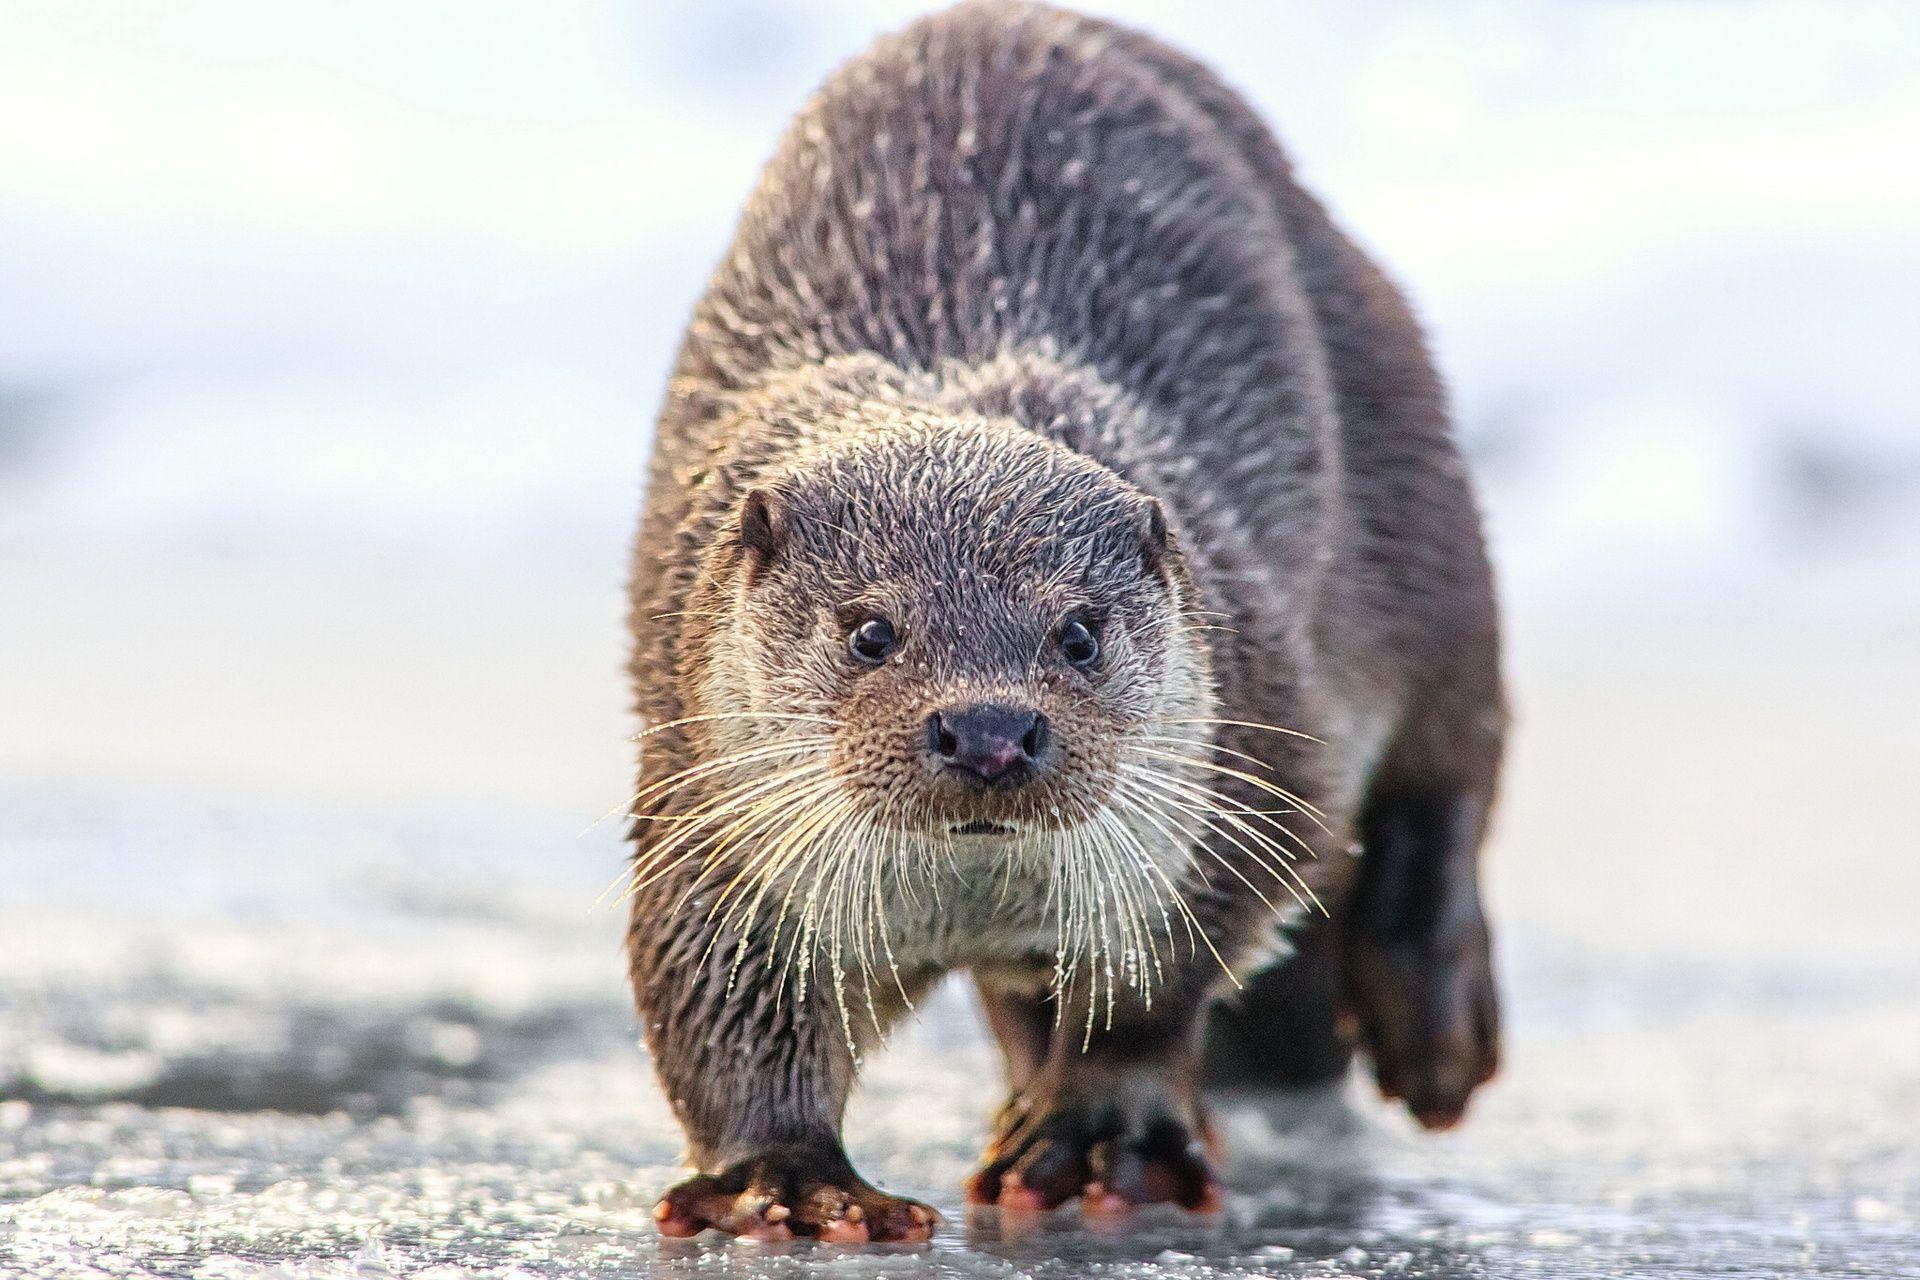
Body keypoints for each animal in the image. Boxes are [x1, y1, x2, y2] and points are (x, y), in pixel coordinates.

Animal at [625, 0, 1503, 1242]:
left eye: (1078, 634)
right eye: (870, 631)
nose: (990, 728)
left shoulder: (1248, 754)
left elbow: (1159, 975)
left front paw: (1102, 1131)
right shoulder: (706, 803)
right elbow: (713, 990)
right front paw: (784, 1175)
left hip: (1419, 498)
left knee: (1450, 769)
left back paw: (1434, 1035)